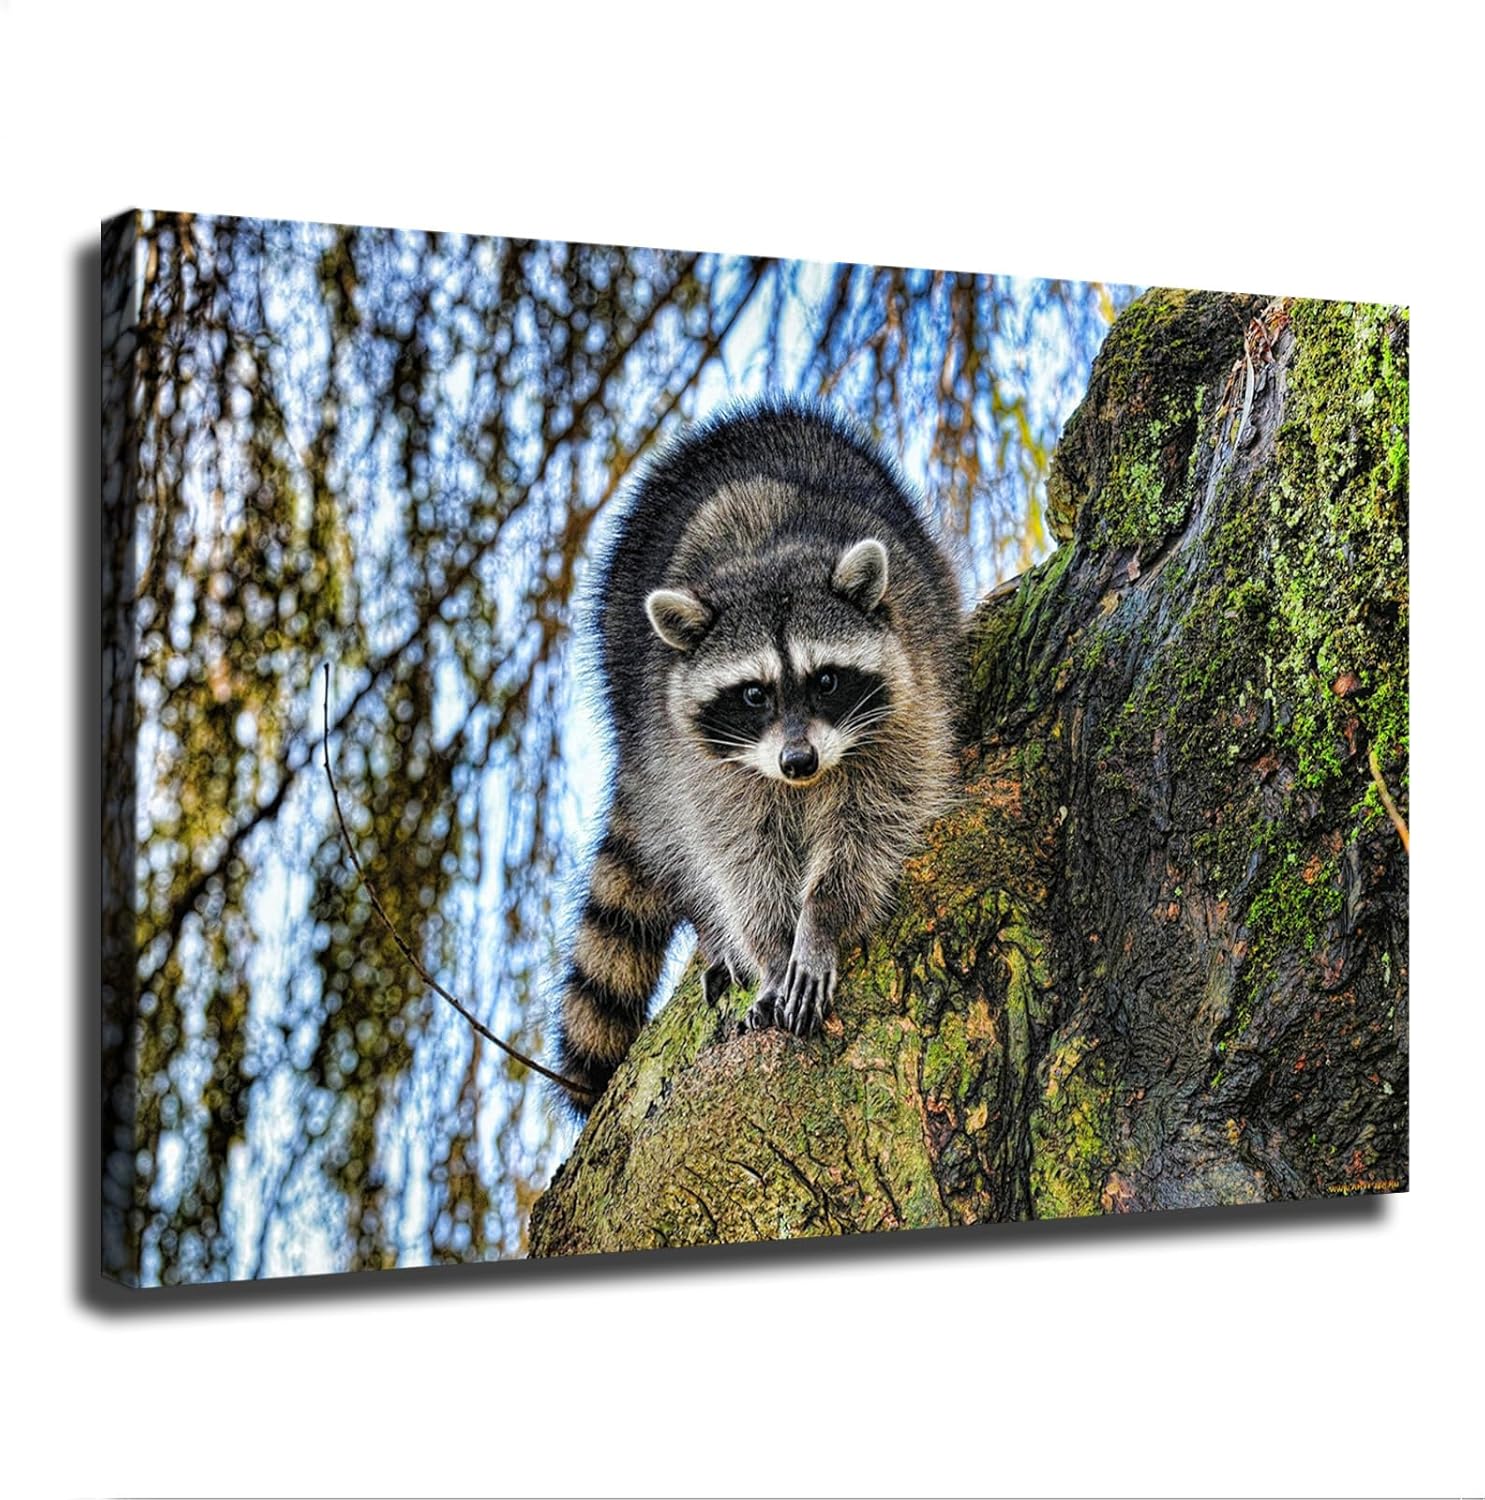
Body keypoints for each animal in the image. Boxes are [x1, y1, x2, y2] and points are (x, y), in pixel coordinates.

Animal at [554, 401, 962, 1114]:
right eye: (752, 693)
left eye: (826, 680)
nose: (799, 762)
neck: (767, 555)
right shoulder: (696, 759)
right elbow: (735, 852)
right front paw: (771, 947)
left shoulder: (912, 686)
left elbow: (876, 815)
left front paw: (821, 916)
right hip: (632, 695)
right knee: (677, 837)